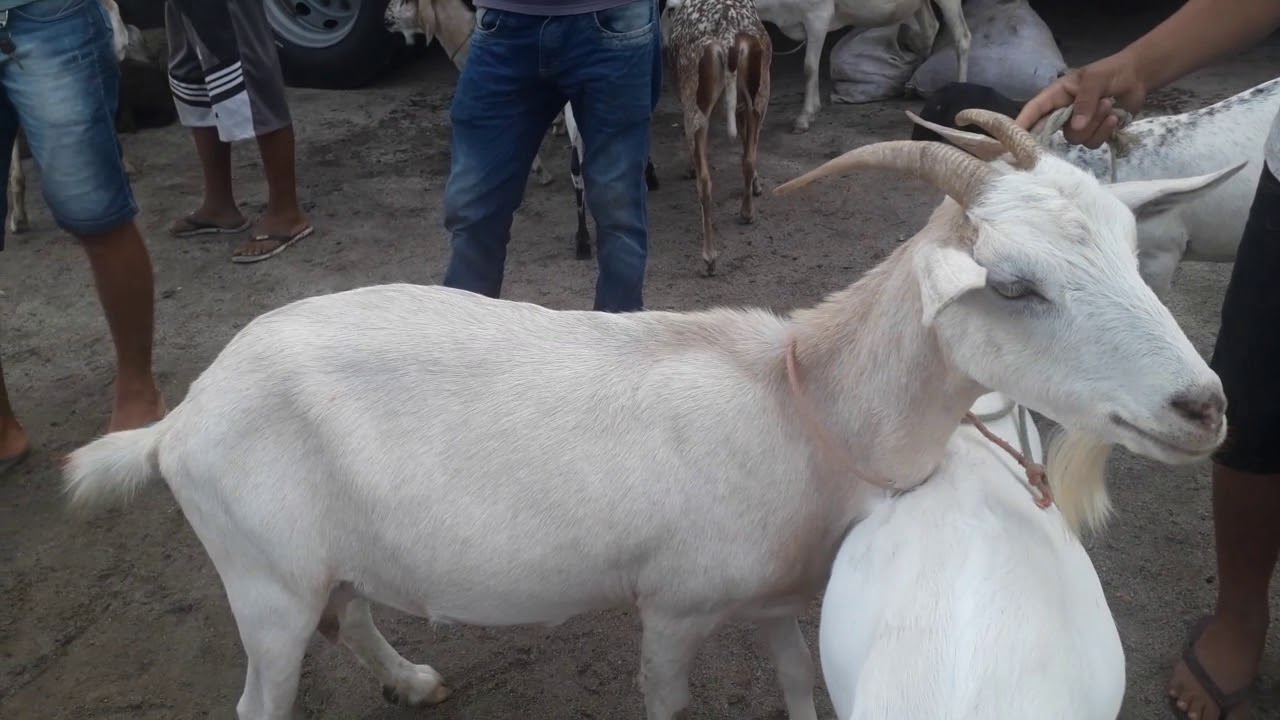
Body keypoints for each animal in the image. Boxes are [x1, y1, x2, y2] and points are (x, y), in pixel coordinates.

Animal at [62, 112, 1229, 720]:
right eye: (1015, 284)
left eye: (1133, 251)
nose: (1205, 405)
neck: (798, 399)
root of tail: (180, 422)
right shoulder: (673, 605)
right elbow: (663, 698)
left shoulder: (775, 601)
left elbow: (800, 688)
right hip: (257, 578)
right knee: (266, 689)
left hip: (307, 561)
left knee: (344, 610)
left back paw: (413, 680)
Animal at [664, 0, 772, 276]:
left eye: (669, 9)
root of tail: (727, 40)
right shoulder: (744, 102)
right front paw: (756, 186)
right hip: (760, 93)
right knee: (748, 158)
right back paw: (746, 212)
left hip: (694, 97)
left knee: (704, 181)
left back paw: (710, 257)